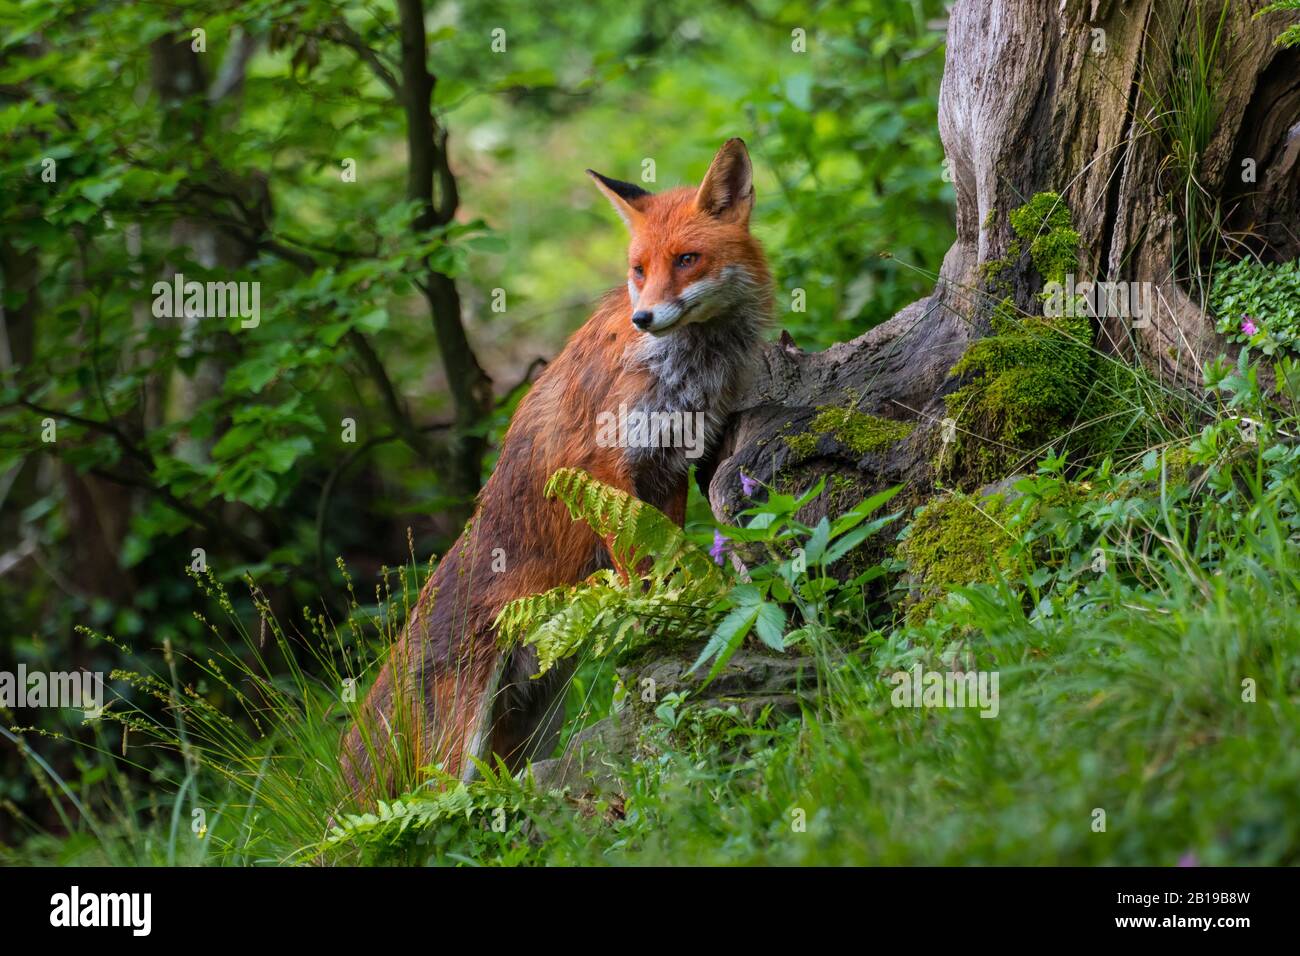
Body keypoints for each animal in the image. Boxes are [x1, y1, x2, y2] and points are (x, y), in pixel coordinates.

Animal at [341, 138, 773, 797]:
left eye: (688, 259)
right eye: (638, 269)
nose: (645, 318)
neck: (687, 367)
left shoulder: (668, 469)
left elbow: (665, 549)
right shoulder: (602, 467)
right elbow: (637, 566)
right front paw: (657, 617)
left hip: (537, 719)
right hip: (459, 745)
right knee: (443, 804)